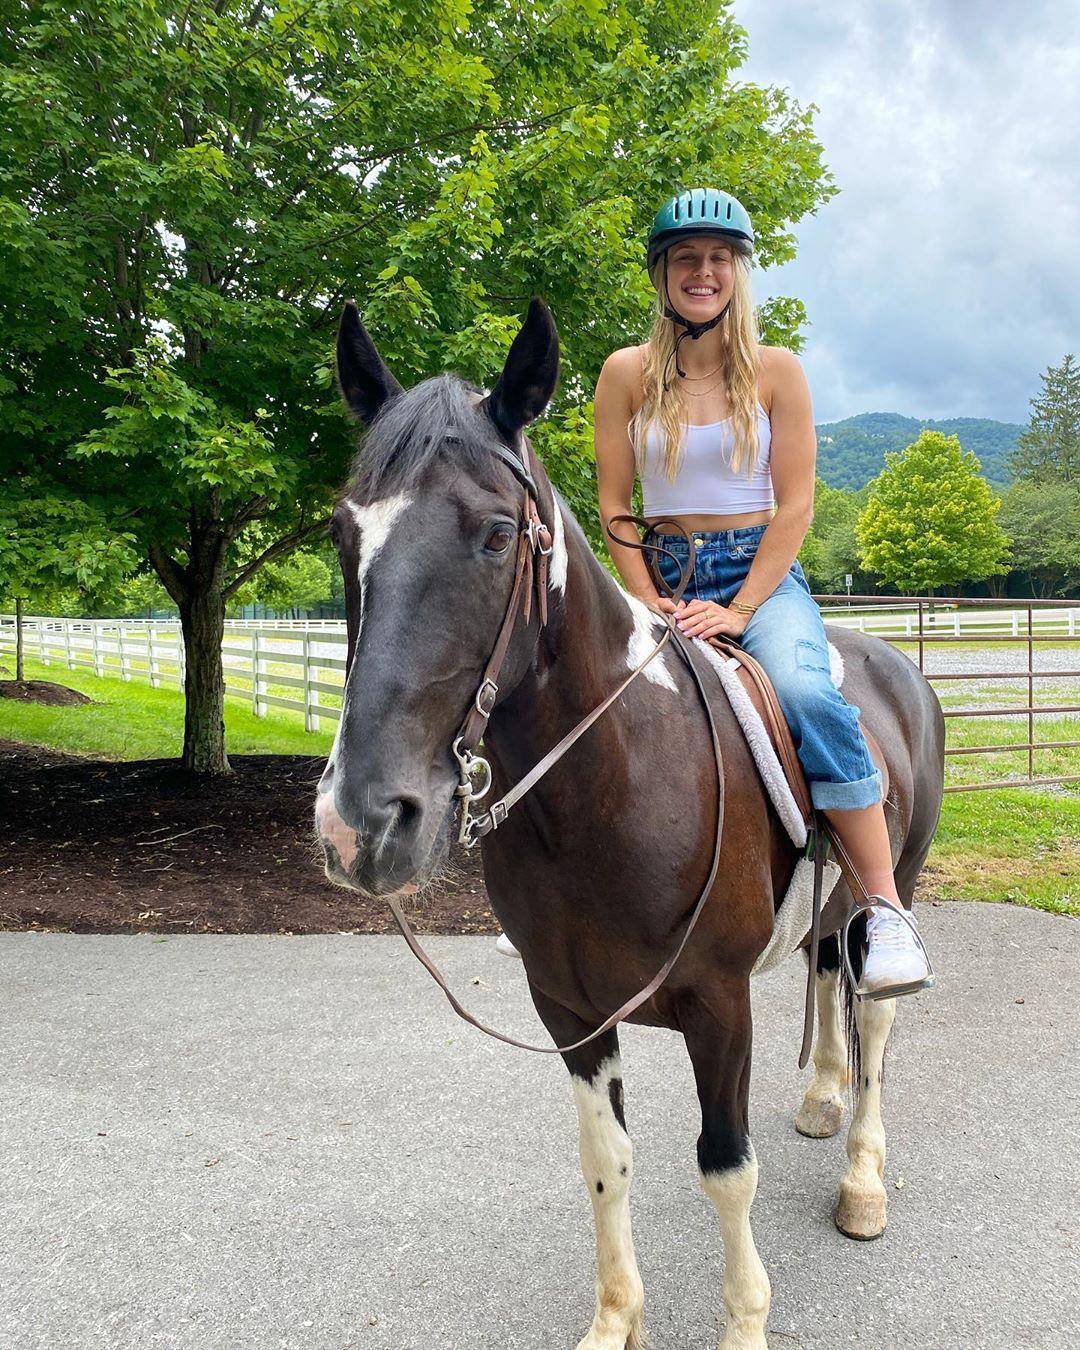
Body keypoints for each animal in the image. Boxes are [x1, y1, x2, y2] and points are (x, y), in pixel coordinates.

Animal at [314, 294, 945, 1349]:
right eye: (340, 533)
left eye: (497, 535)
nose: (361, 823)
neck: (613, 791)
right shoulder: (571, 1013)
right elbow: (605, 1162)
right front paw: (617, 1320)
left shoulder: (719, 1005)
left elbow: (725, 1166)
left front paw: (743, 1324)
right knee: (826, 972)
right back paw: (820, 1096)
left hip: (891, 889)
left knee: (876, 1016)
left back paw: (862, 1175)